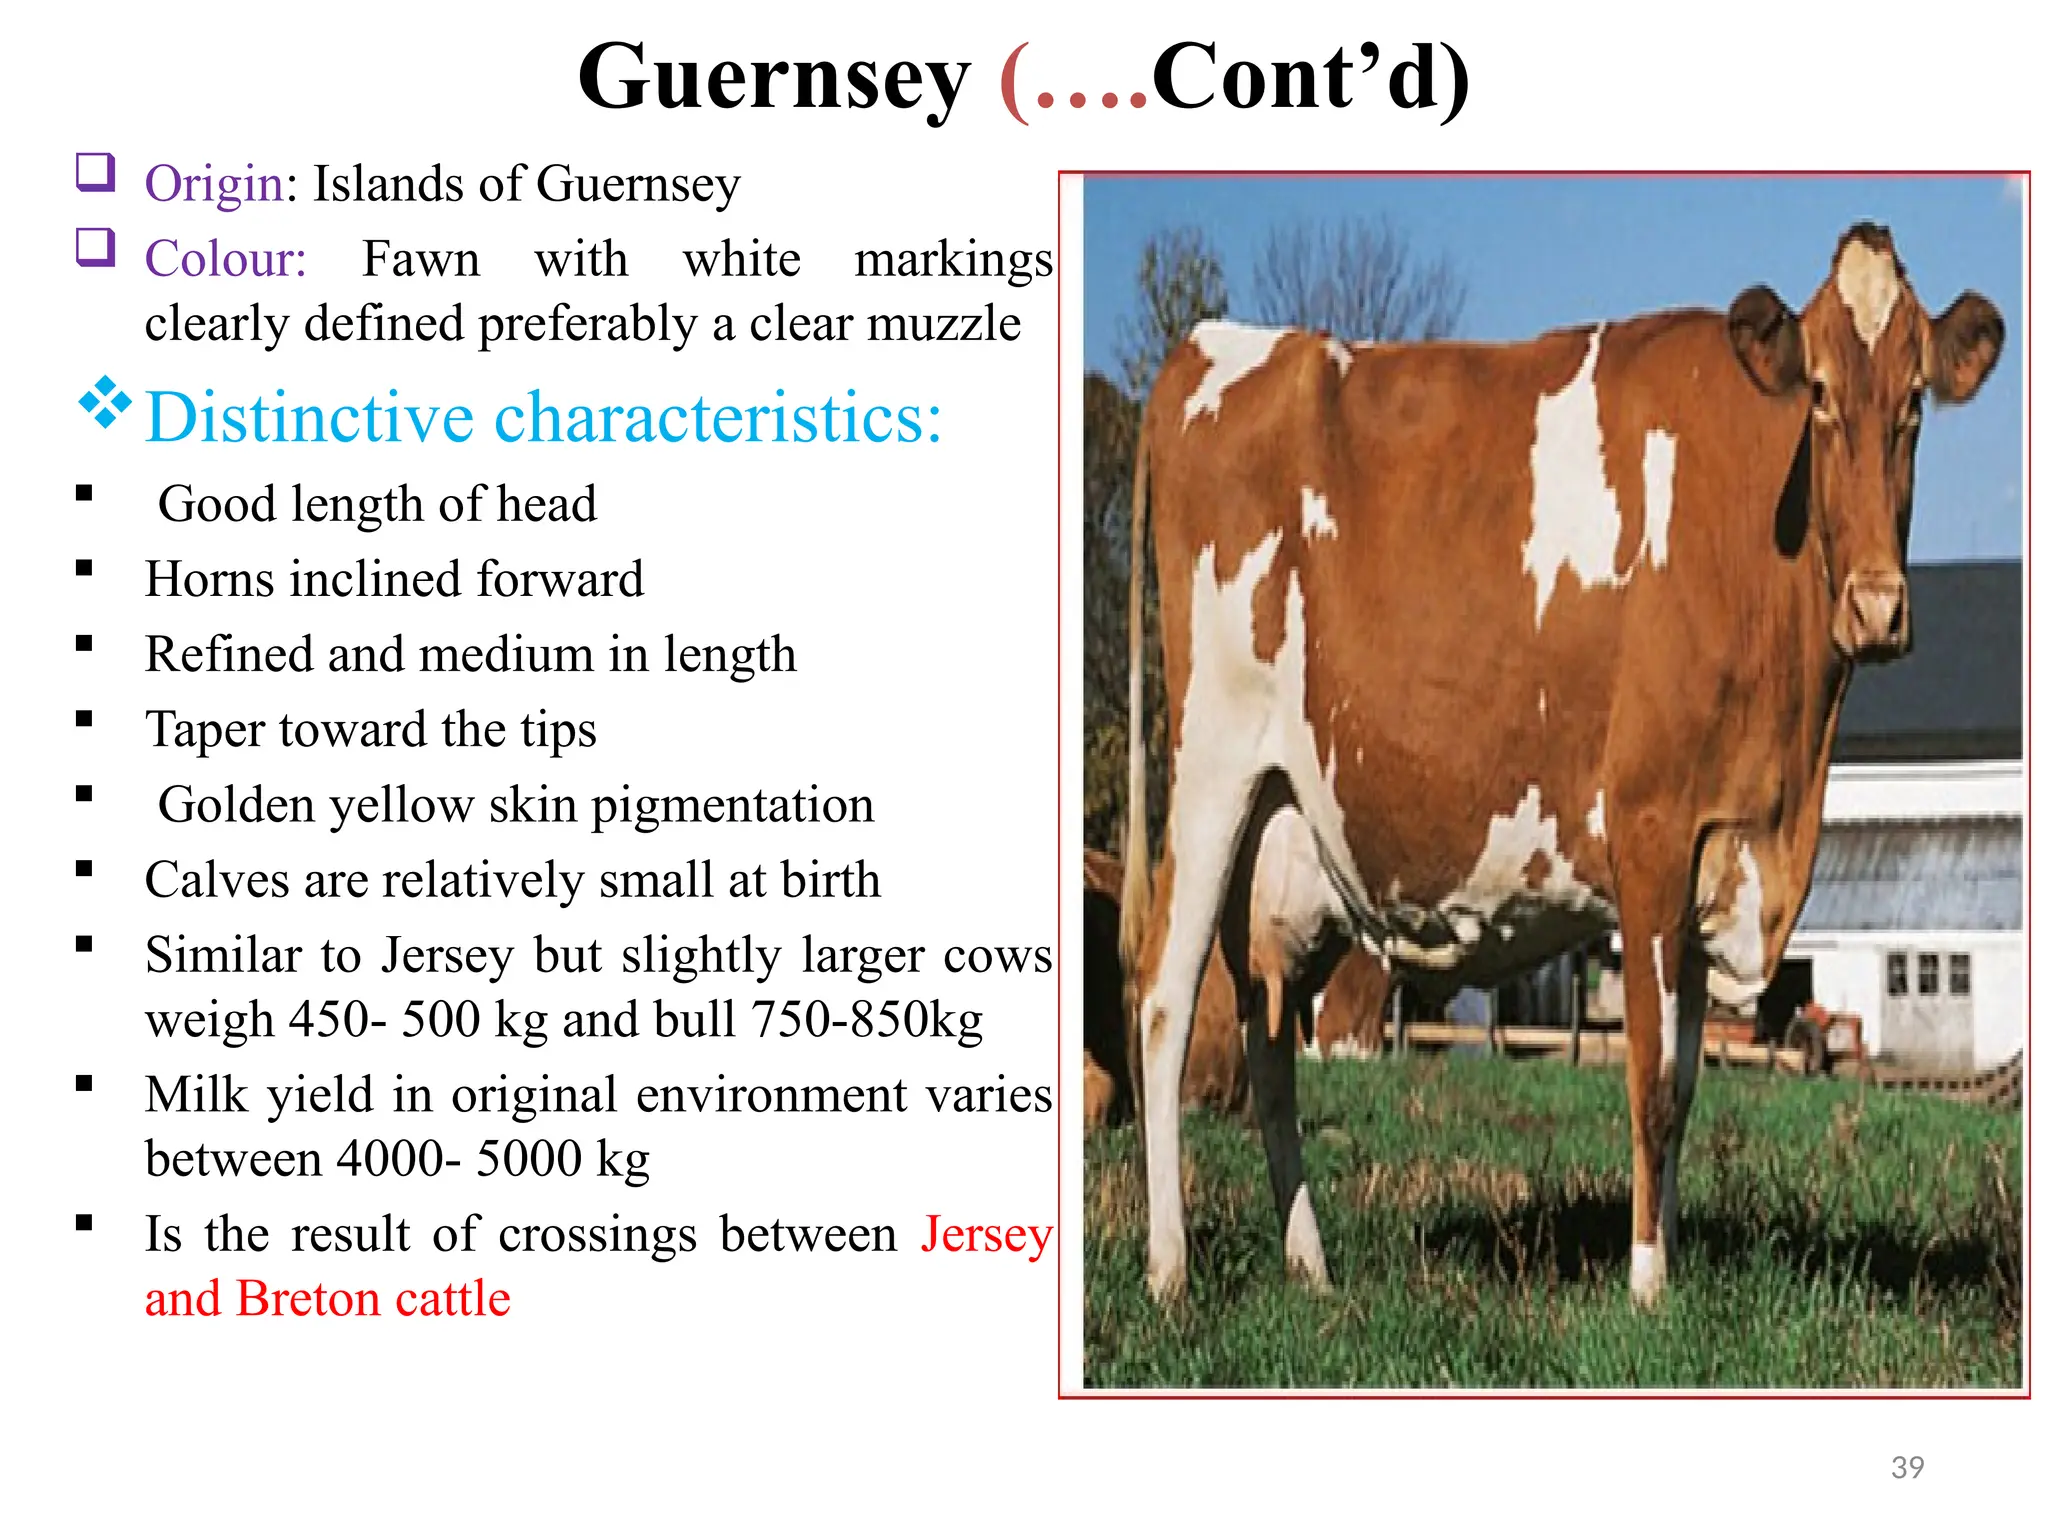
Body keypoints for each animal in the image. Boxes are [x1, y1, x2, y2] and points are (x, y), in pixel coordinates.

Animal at [1119, 224, 2002, 1305]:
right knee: (1165, 1000)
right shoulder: (1650, 829)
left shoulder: (1715, 841)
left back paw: (1310, 1266)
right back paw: (1168, 1270)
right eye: (1822, 394)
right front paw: (1646, 1286)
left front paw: (1669, 1257)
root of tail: (1214, 345)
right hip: (1208, 770)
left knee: (1268, 1031)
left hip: (1281, 822)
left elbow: (1686, 1080)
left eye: (1916, 398)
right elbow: (1649, 1082)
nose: (1877, 609)